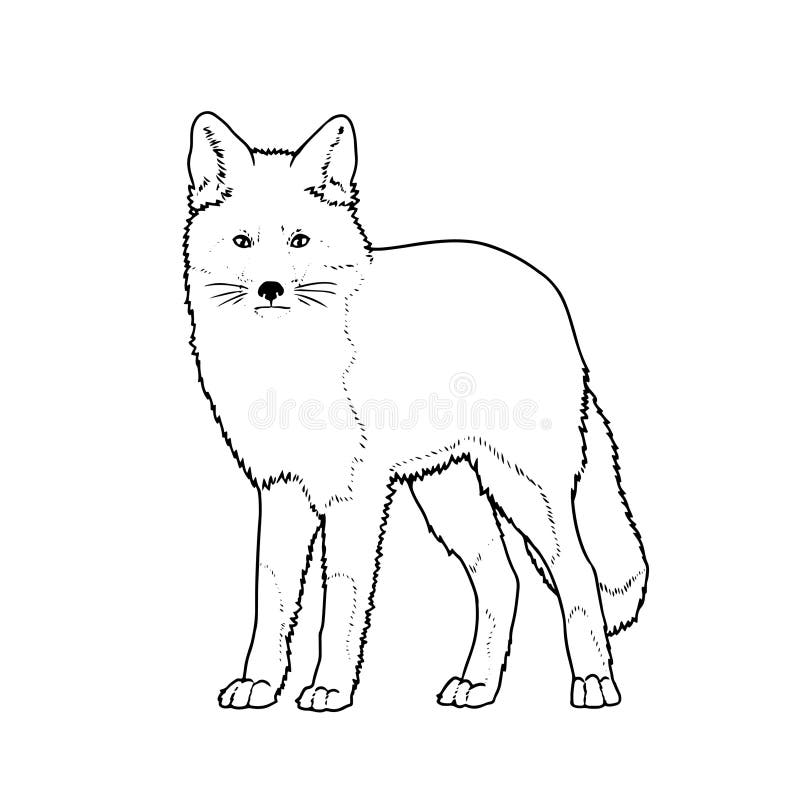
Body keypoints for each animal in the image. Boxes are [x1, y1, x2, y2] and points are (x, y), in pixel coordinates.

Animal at [183, 112, 648, 712]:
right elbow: (273, 600)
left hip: (524, 488)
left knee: (578, 573)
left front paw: (328, 687)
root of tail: (550, 291)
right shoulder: (281, 487)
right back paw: (478, 684)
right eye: (242, 241)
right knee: (505, 580)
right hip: (446, 496)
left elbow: (341, 601)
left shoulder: (353, 495)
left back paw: (592, 681)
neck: (290, 365)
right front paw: (260, 684)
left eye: (299, 240)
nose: (270, 289)